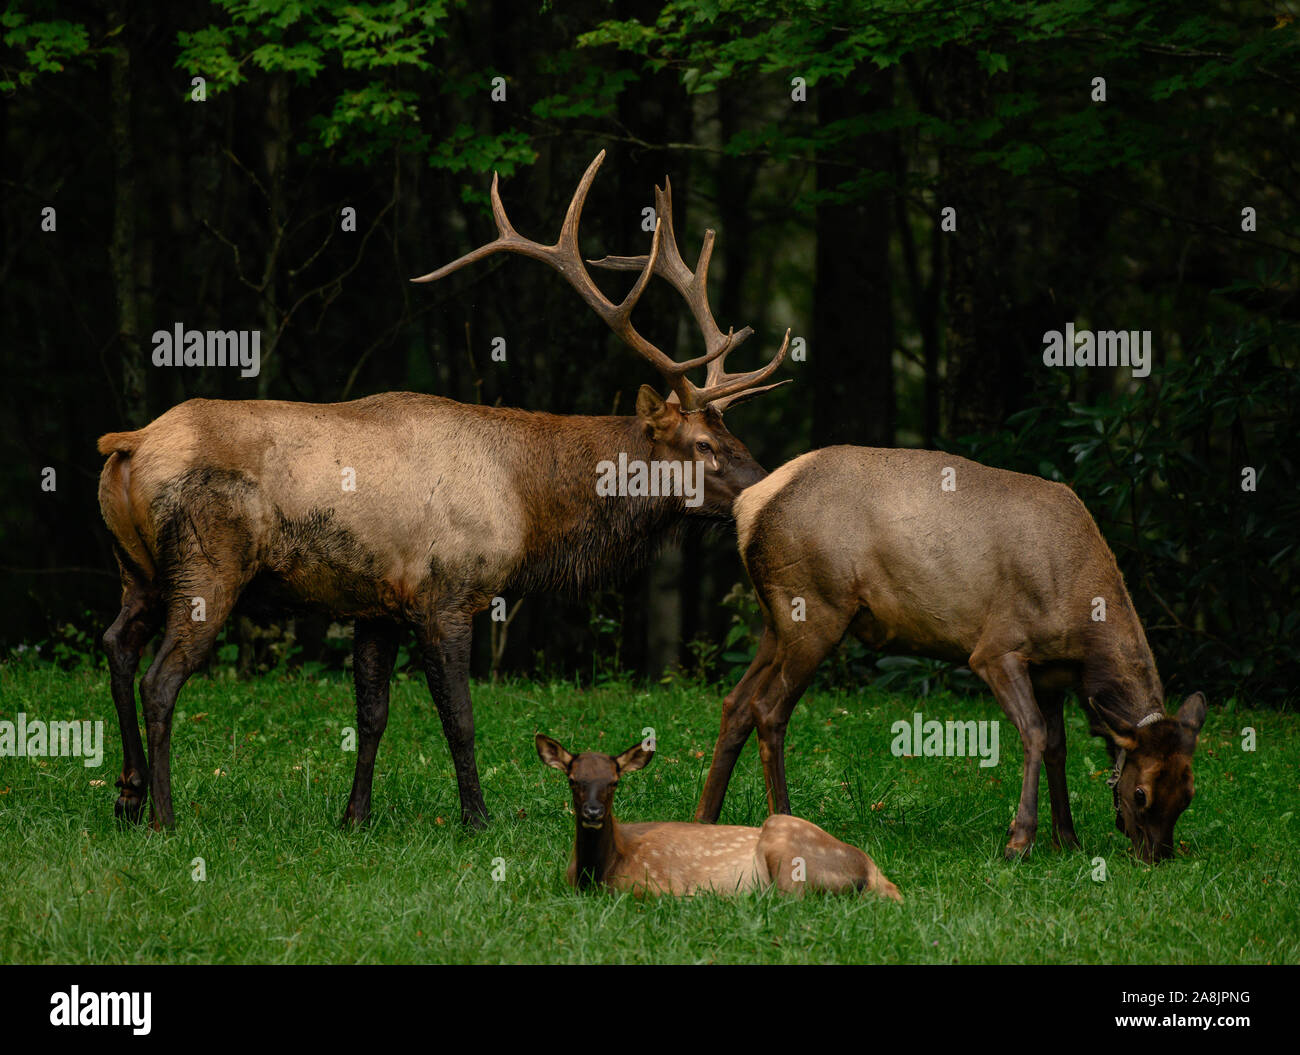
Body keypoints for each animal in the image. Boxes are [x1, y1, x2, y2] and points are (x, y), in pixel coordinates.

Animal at [96, 151, 788, 831]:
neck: (529, 506)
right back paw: (163, 817)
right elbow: (460, 718)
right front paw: (477, 820)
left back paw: (127, 796)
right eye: (703, 443)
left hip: (138, 569)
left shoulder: (374, 604)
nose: (766, 487)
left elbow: (372, 716)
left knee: (117, 645)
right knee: (161, 678)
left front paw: (354, 818)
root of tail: (127, 445)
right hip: (208, 563)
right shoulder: (447, 594)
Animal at [535, 733, 902, 900]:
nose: (593, 812)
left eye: (613, 781)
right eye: (573, 780)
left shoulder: (657, 885)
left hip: (789, 849)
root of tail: (875, 873)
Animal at [692, 446, 1207, 865]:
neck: (1084, 637)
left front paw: (1069, 840)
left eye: (1188, 794)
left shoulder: (1052, 675)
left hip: (775, 622)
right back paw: (785, 820)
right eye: (1140, 793)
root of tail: (748, 506)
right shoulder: (997, 648)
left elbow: (1058, 747)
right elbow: (1034, 733)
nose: (1157, 856)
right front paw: (1019, 841)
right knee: (768, 708)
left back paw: (705, 819)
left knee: (736, 703)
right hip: (815, 609)